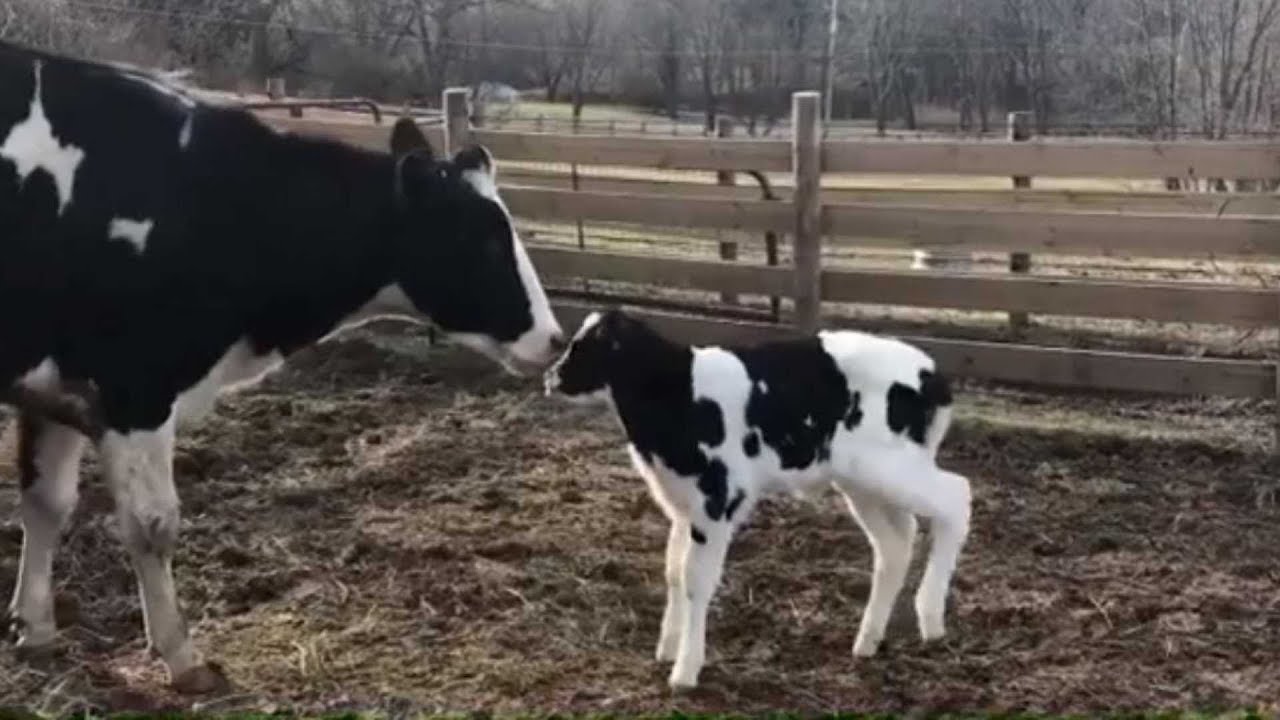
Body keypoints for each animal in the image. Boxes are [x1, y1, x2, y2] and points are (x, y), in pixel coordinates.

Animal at [1, 41, 564, 692]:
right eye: (486, 242)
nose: (555, 339)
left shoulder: (59, 388)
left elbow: (46, 503)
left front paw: (36, 627)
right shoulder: (136, 388)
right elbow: (152, 525)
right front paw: (181, 656)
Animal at [545, 310, 972, 689]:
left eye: (588, 345)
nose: (550, 377)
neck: (680, 394)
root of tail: (933, 375)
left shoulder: (717, 499)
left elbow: (696, 579)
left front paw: (685, 670)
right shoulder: (683, 504)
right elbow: (673, 571)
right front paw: (667, 648)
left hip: (889, 467)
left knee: (956, 497)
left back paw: (930, 617)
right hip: (864, 481)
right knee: (896, 542)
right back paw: (868, 640)